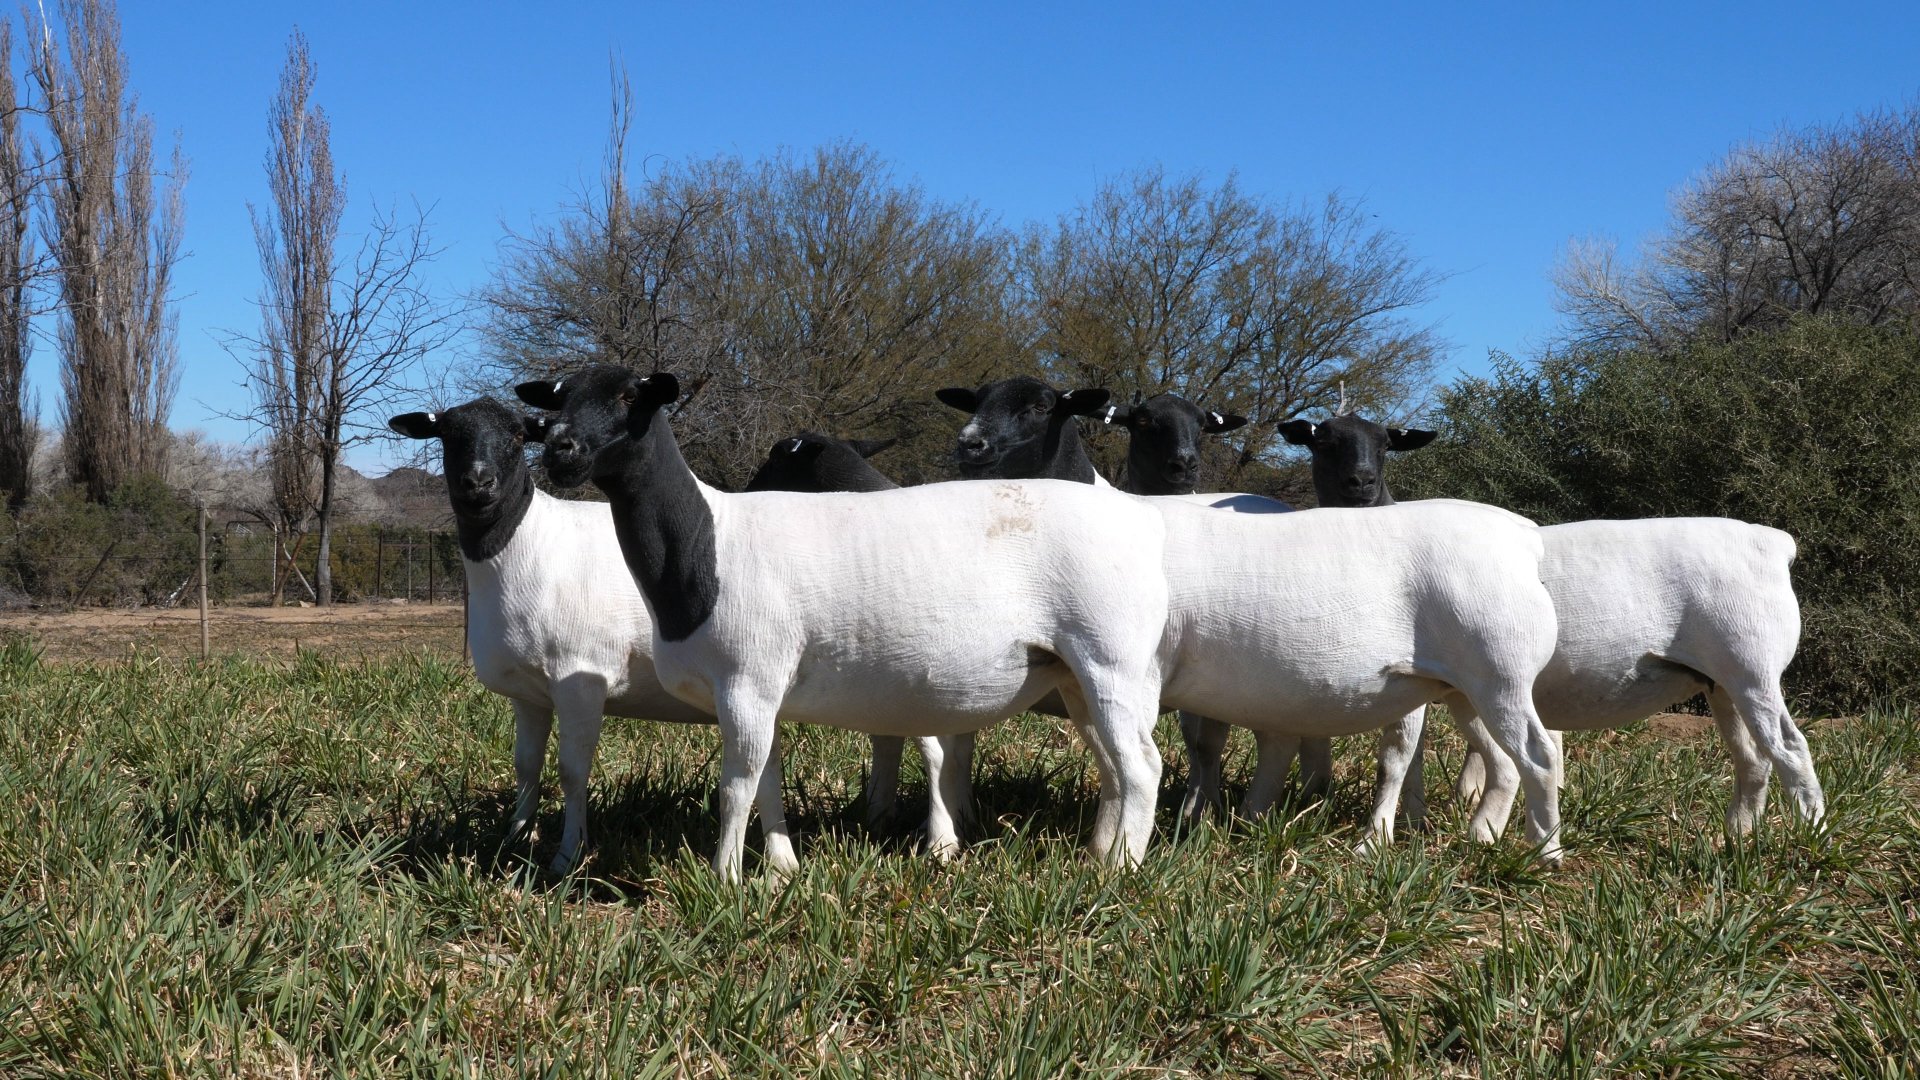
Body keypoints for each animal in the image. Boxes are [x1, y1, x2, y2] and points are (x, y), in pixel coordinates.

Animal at [518, 367, 1175, 881]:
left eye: (631, 395)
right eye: (559, 397)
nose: (560, 450)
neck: (706, 544)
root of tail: (1142, 529)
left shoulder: (748, 679)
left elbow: (737, 787)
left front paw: (724, 881)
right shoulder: (762, 691)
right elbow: (768, 780)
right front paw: (782, 869)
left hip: (1112, 660)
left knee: (1143, 768)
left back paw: (1122, 871)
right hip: (1073, 673)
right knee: (1113, 767)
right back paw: (1100, 852)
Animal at [1268, 412, 1825, 841]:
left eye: (1386, 443)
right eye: (1322, 440)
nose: (1359, 483)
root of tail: (1774, 543)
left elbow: (1402, 754)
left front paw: (1400, 829)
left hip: (1752, 665)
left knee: (1791, 749)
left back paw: (1809, 837)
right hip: (1720, 680)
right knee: (1754, 760)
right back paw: (1738, 835)